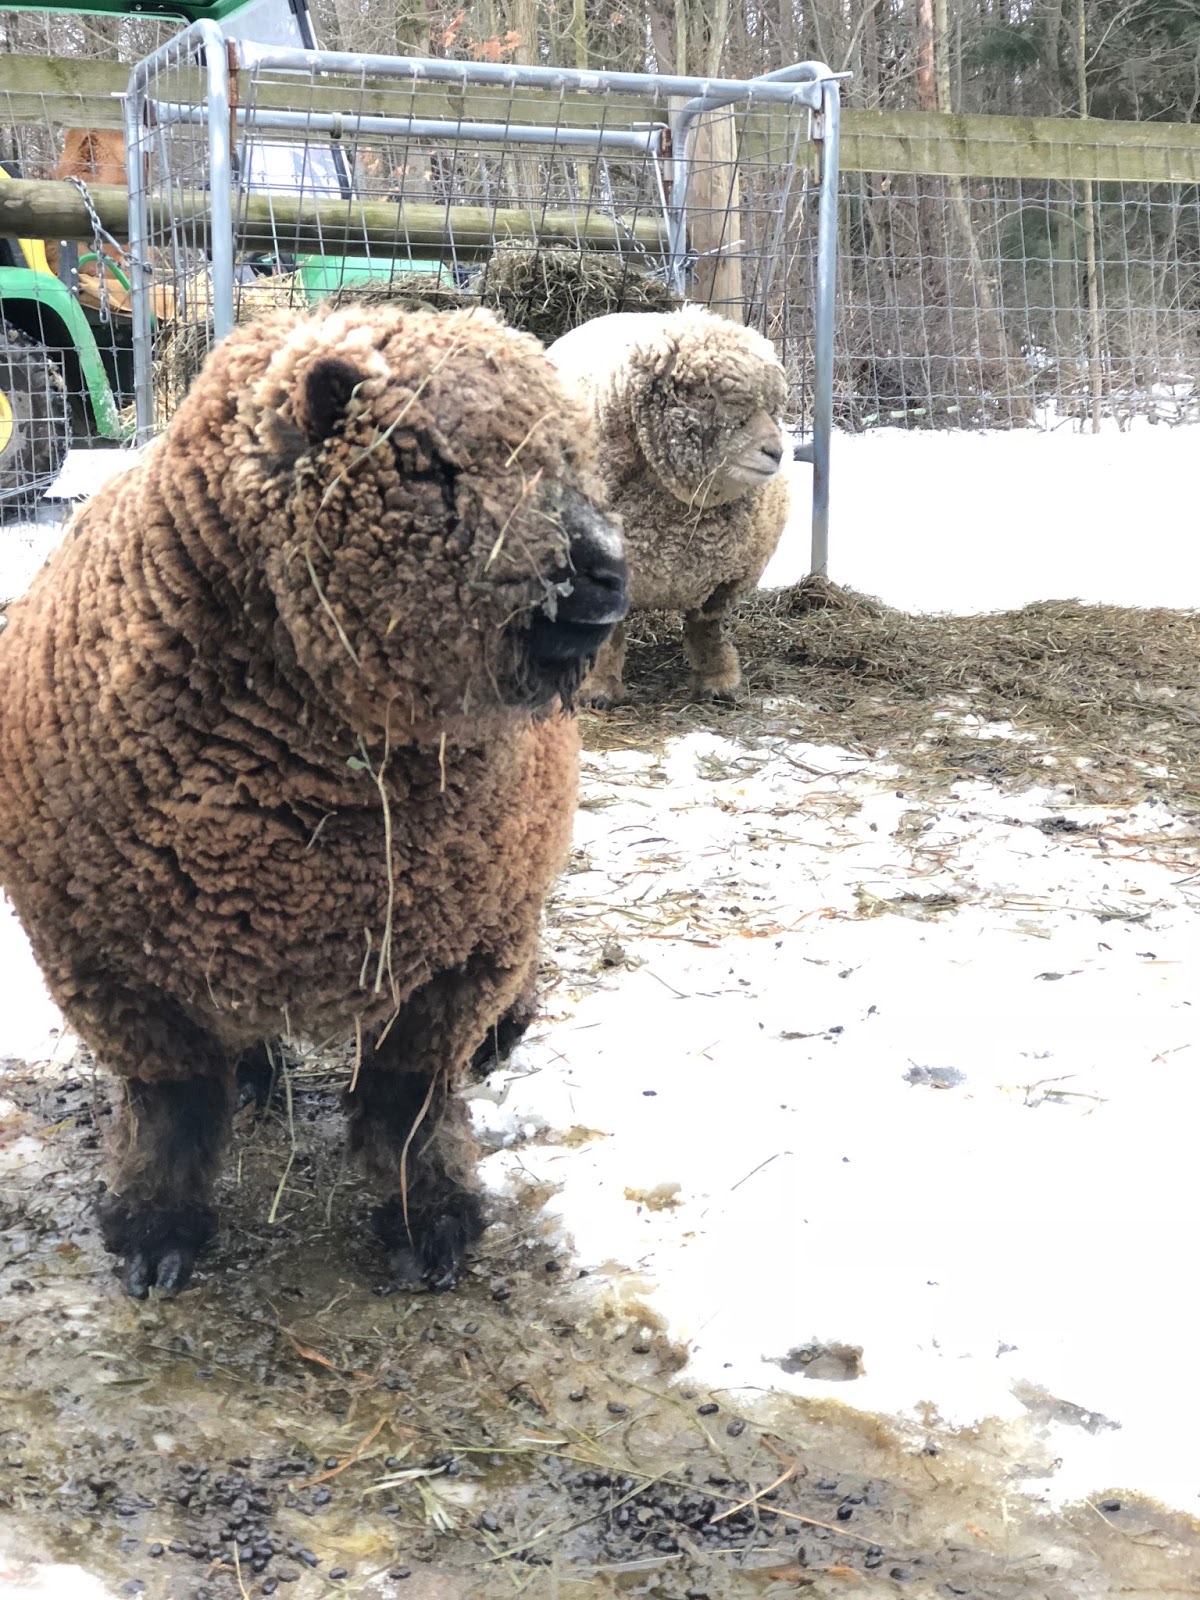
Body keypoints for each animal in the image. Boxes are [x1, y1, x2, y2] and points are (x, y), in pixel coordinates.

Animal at [0, 304, 627, 1298]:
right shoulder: (107, 963)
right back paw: (256, 1072)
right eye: (433, 465)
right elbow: (173, 1101)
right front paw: (155, 1231)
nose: (609, 574)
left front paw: (429, 1221)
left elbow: (411, 1103)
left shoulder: (462, 957)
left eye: (571, 459)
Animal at [547, 306, 789, 704]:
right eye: (705, 394)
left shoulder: (726, 580)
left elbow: (707, 629)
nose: (776, 451)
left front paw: (718, 680)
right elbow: (610, 633)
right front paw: (598, 688)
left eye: (770, 408)